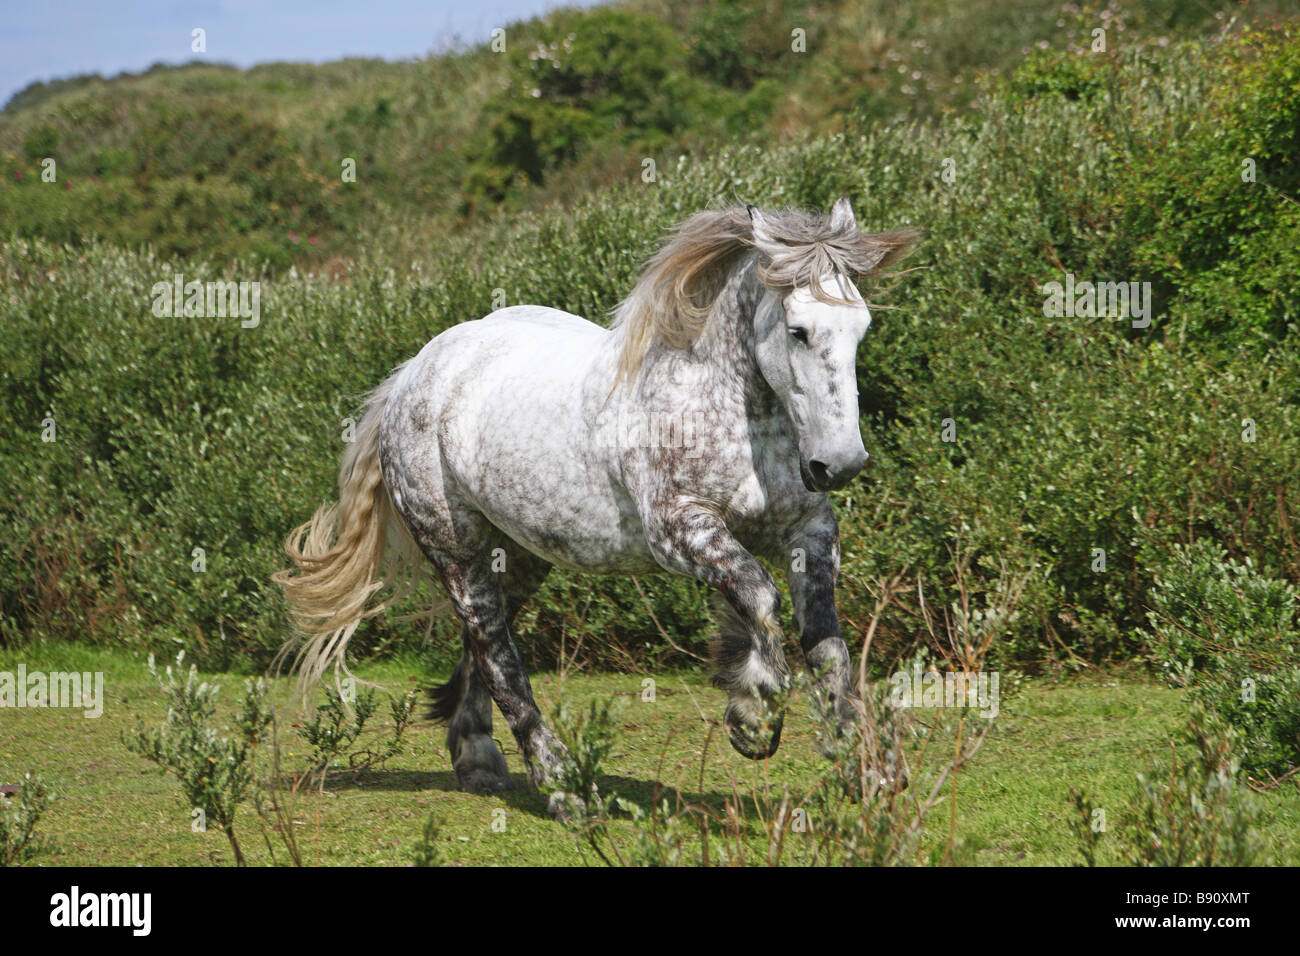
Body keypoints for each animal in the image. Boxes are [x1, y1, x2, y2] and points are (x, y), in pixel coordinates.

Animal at [272, 197, 919, 815]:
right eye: (799, 330)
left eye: (860, 327)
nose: (839, 464)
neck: (733, 414)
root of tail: (416, 371)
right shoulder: (682, 531)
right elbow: (760, 597)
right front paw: (753, 719)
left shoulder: (808, 530)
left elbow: (827, 643)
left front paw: (864, 767)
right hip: (454, 549)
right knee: (496, 650)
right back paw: (562, 788)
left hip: (521, 556)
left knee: (481, 644)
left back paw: (478, 760)